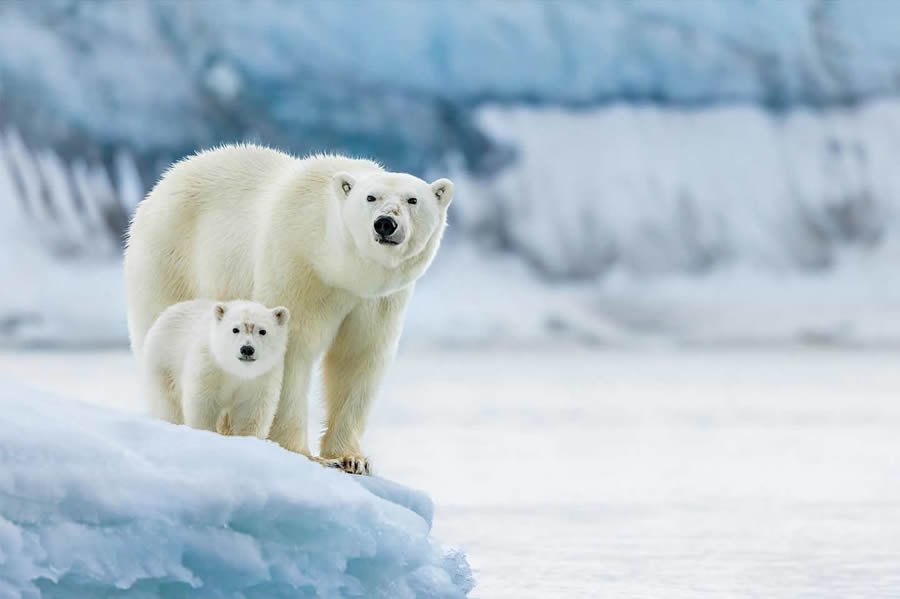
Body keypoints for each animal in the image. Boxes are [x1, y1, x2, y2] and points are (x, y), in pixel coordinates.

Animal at [141, 299, 291, 440]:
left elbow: (251, 412)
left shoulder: (262, 377)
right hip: (164, 364)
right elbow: (203, 404)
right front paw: (206, 432)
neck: (236, 371)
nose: (247, 349)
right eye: (235, 329)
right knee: (168, 405)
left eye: (263, 331)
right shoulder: (209, 367)